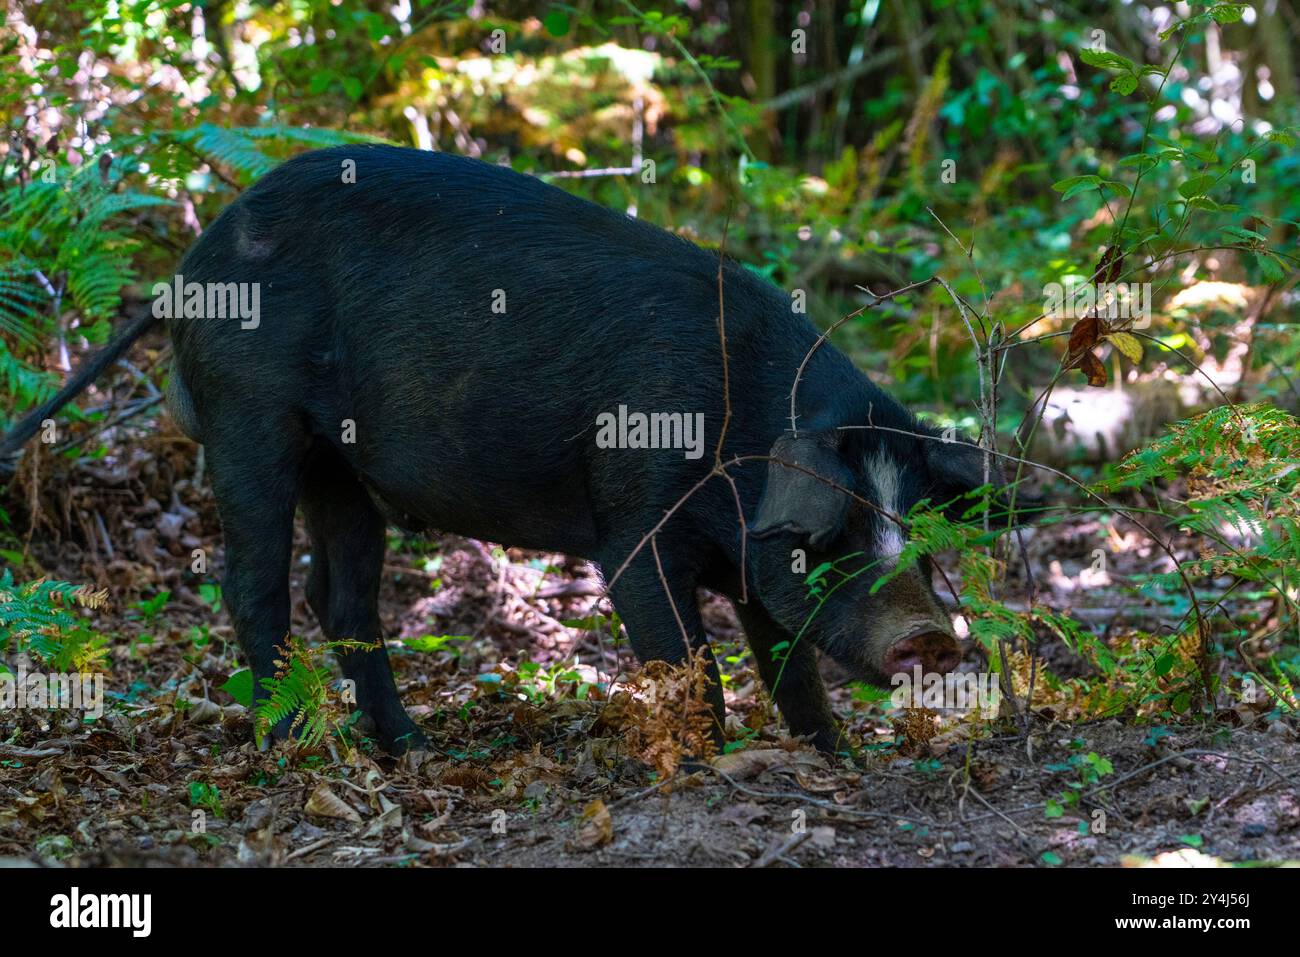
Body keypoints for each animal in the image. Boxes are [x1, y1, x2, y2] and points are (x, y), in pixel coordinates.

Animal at [2, 144, 1030, 755]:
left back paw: (410, 746)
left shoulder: (746, 562)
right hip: (247, 415)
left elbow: (791, 667)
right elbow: (689, 661)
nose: (932, 633)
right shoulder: (632, 530)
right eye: (835, 534)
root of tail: (189, 266)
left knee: (341, 592)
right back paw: (292, 740)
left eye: (921, 534)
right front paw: (712, 760)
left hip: (343, 466)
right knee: (250, 583)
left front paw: (834, 757)